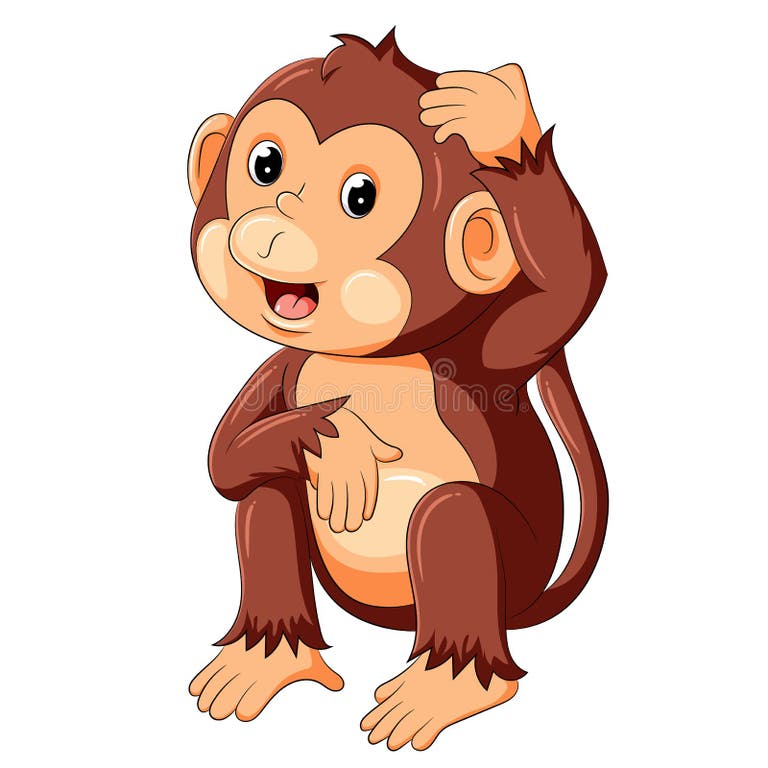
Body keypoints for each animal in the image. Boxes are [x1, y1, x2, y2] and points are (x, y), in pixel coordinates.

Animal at [186, 32, 607, 751]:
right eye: (266, 165)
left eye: (361, 197)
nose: (277, 216)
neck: (369, 360)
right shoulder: (284, 366)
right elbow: (225, 459)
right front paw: (338, 440)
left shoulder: (494, 353)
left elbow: (572, 290)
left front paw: (494, 119)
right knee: (266, 492)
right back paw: (267, 658)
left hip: (508, 579)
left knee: (452, 513)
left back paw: (445, 685)